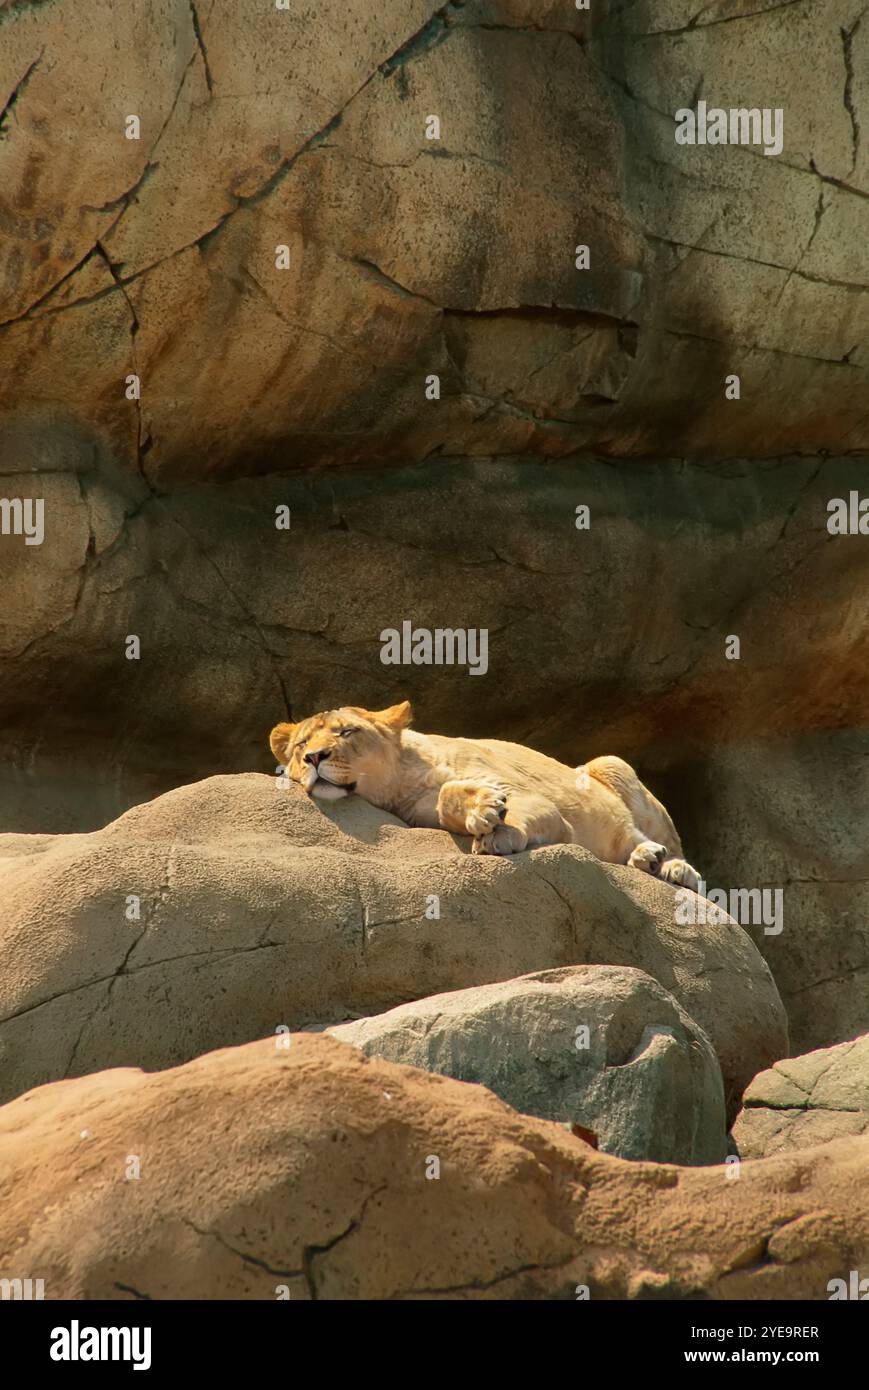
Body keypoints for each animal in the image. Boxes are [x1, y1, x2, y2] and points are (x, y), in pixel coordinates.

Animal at [269, 700, 700, 890]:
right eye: (301, 744)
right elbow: (447, 799)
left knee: (656, 839)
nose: (313, 757)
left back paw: (666, 864)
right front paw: (487, 811)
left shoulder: (541, 802)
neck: (407, 777)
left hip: (611, 764)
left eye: (346, 732)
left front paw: (497, 827)